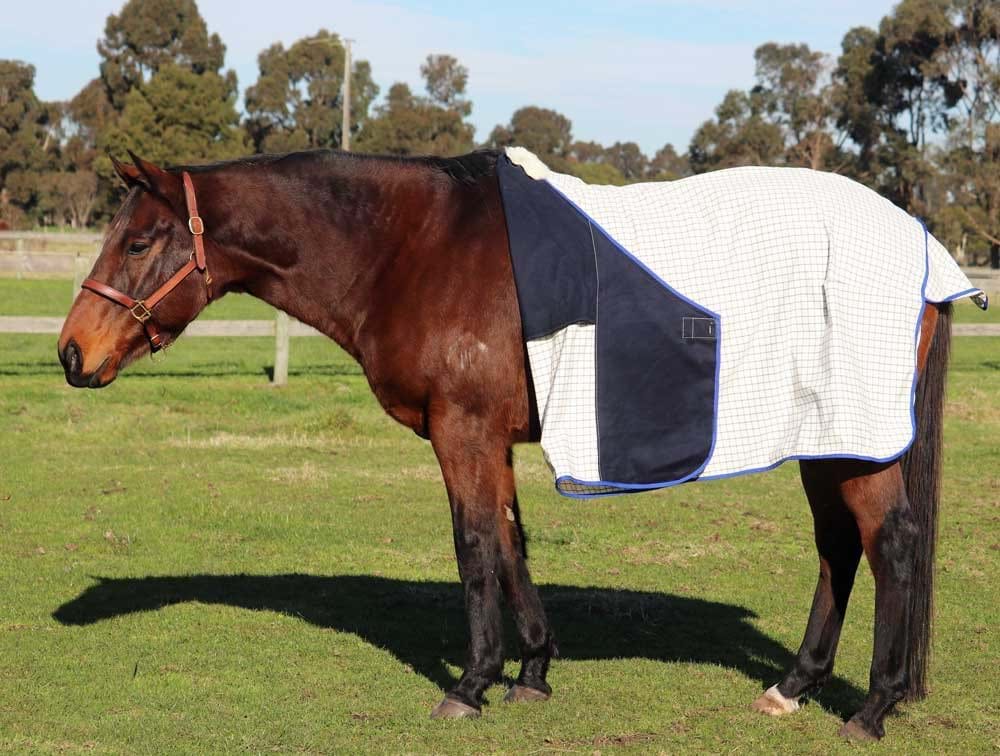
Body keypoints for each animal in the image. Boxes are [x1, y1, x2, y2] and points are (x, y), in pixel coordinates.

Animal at [58, 149, 952, 741]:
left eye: (138, 242)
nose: (73, 353)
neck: (415, 249)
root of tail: (922, 246)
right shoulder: (494, 439)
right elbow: (513, 541)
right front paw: (533, 671)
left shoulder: (463, 432)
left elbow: (475, 544)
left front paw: (472, 682)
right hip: (828, 439)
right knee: (839, 547)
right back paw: (794, 685)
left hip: (856, 443)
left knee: (890, 545)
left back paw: (872, 707)